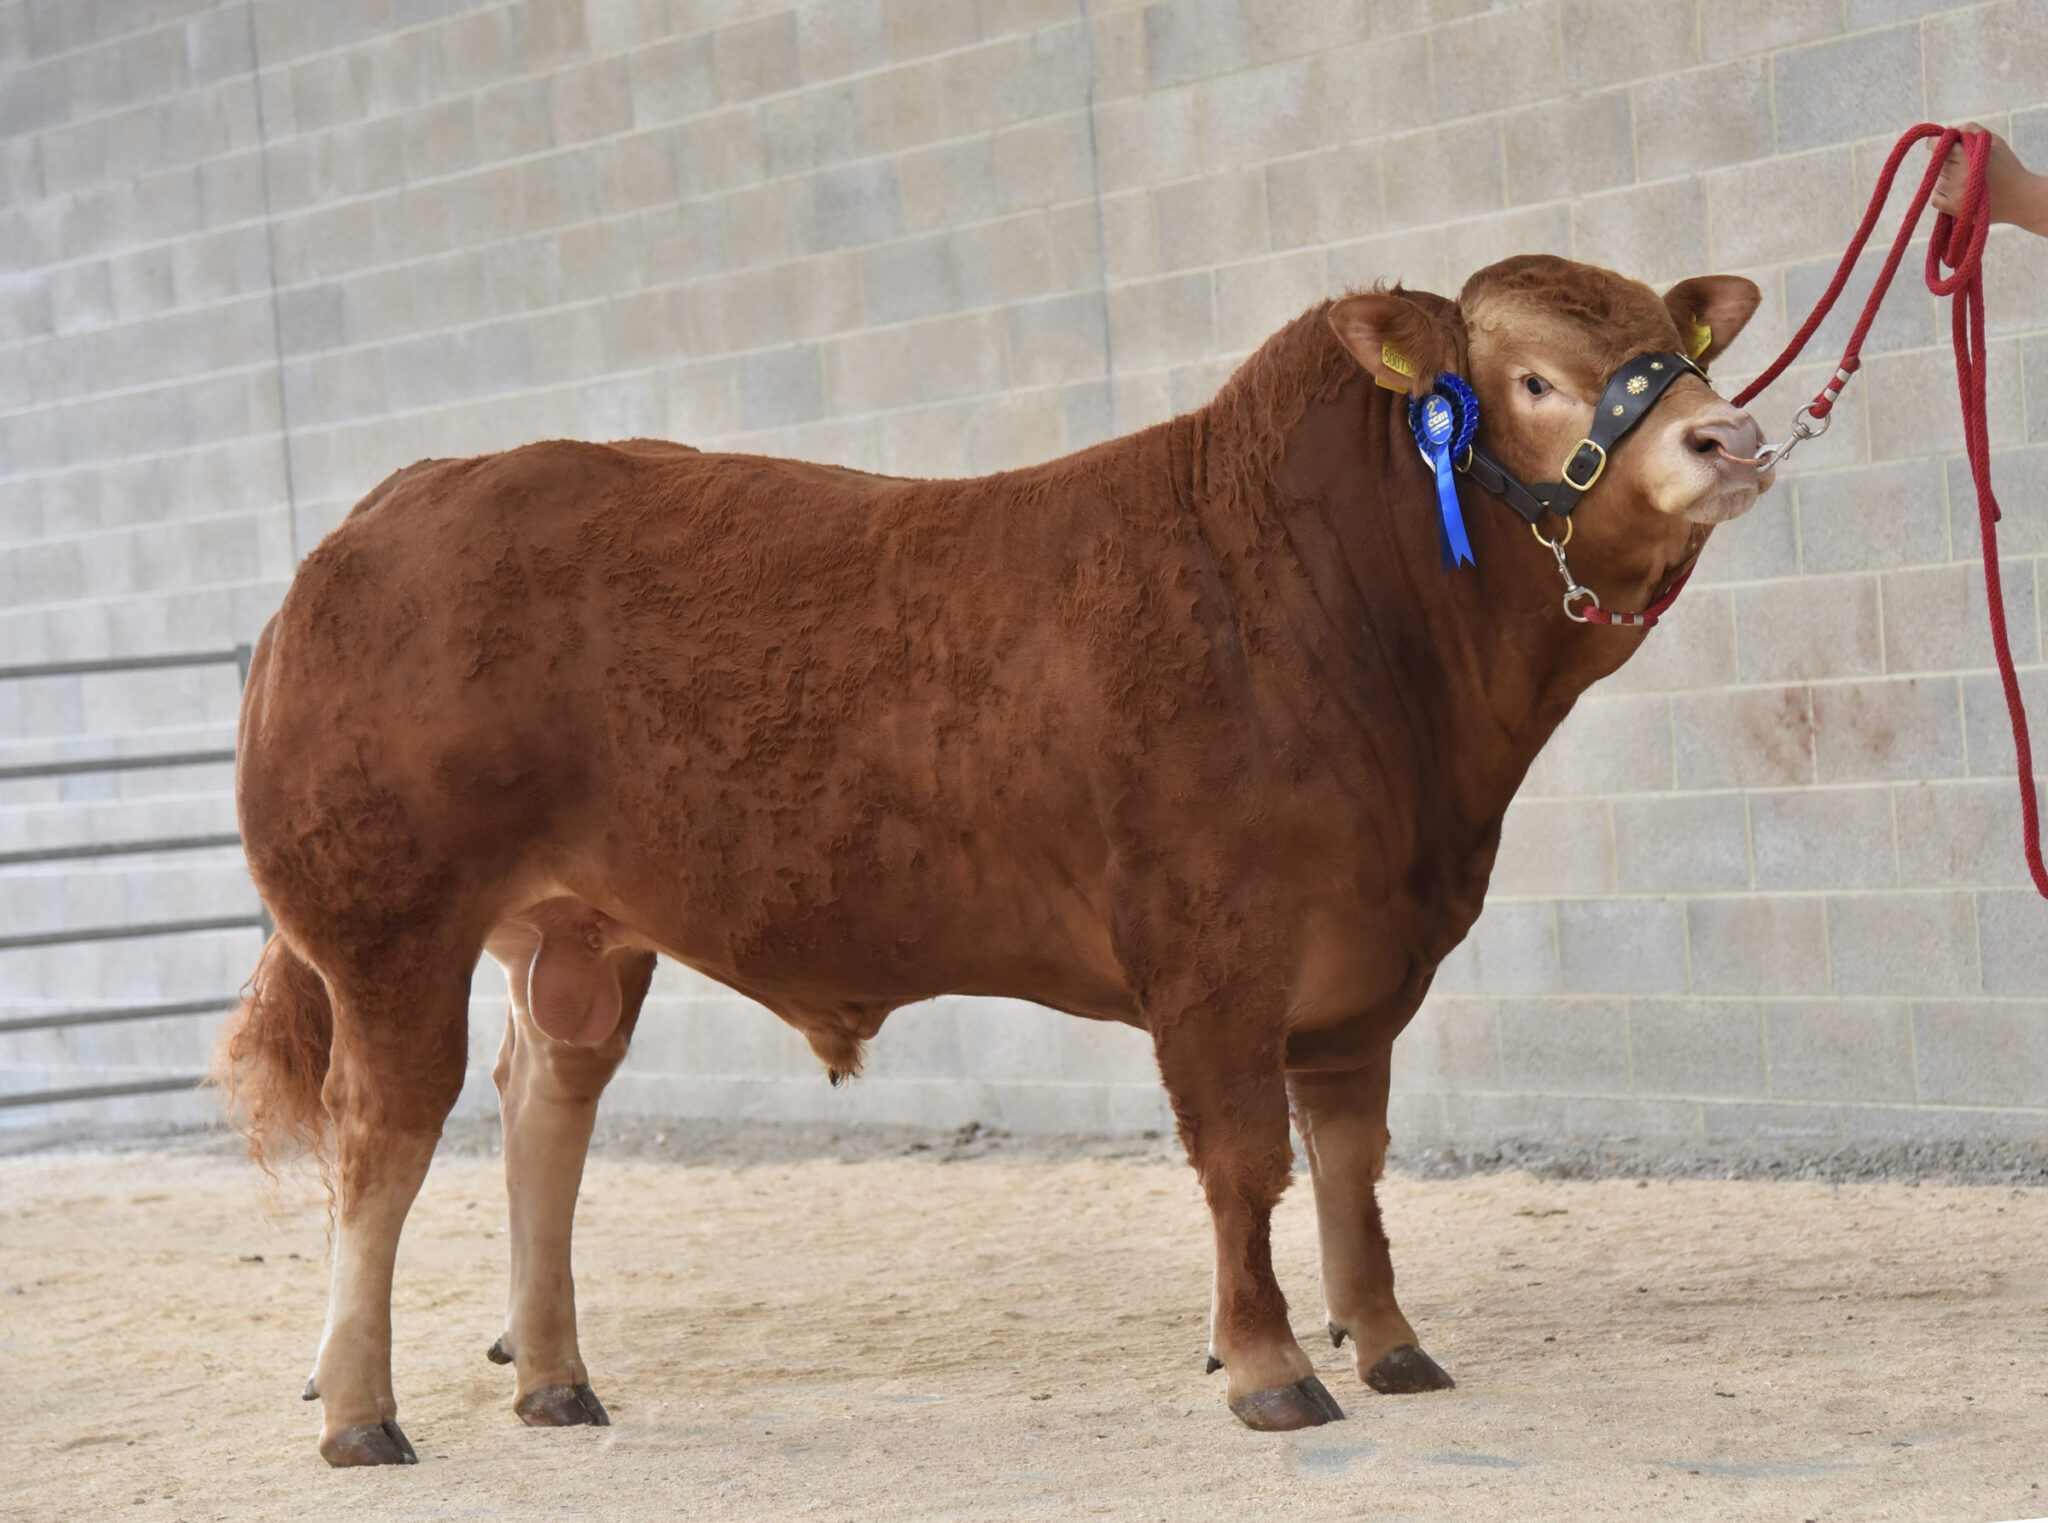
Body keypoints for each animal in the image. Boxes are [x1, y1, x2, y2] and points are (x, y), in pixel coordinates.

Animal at [215, 253, 1769, 1465]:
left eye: (1678, 347)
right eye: (1531, 379)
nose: (1731, 437)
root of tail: (385, 513)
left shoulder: (1361, 960)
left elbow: (1349, 1157)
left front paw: (1387, 1340)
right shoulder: (1212, 951)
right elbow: (1243, 1161)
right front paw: (1271, 1368)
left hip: (578, 930)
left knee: (547, 1106)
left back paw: (553, 1377)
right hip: (388, 925)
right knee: (380, 1136)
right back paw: (358, 1409)